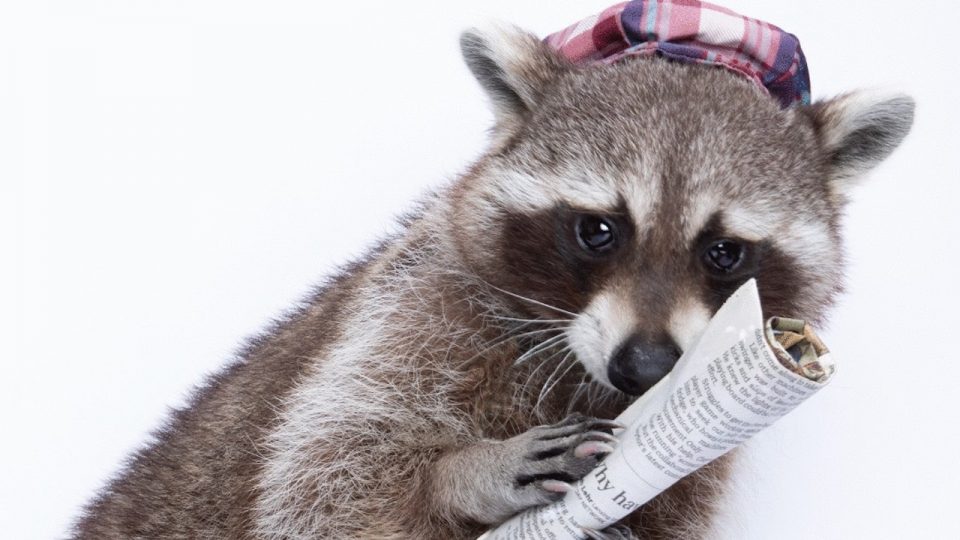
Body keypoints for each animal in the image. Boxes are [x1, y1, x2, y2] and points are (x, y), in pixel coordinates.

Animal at [72, 22, 914, 540]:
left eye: (724, 252)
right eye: (598, 228)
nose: (646, 367)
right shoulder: (410, 314)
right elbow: (327, 480)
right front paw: (458, 477)